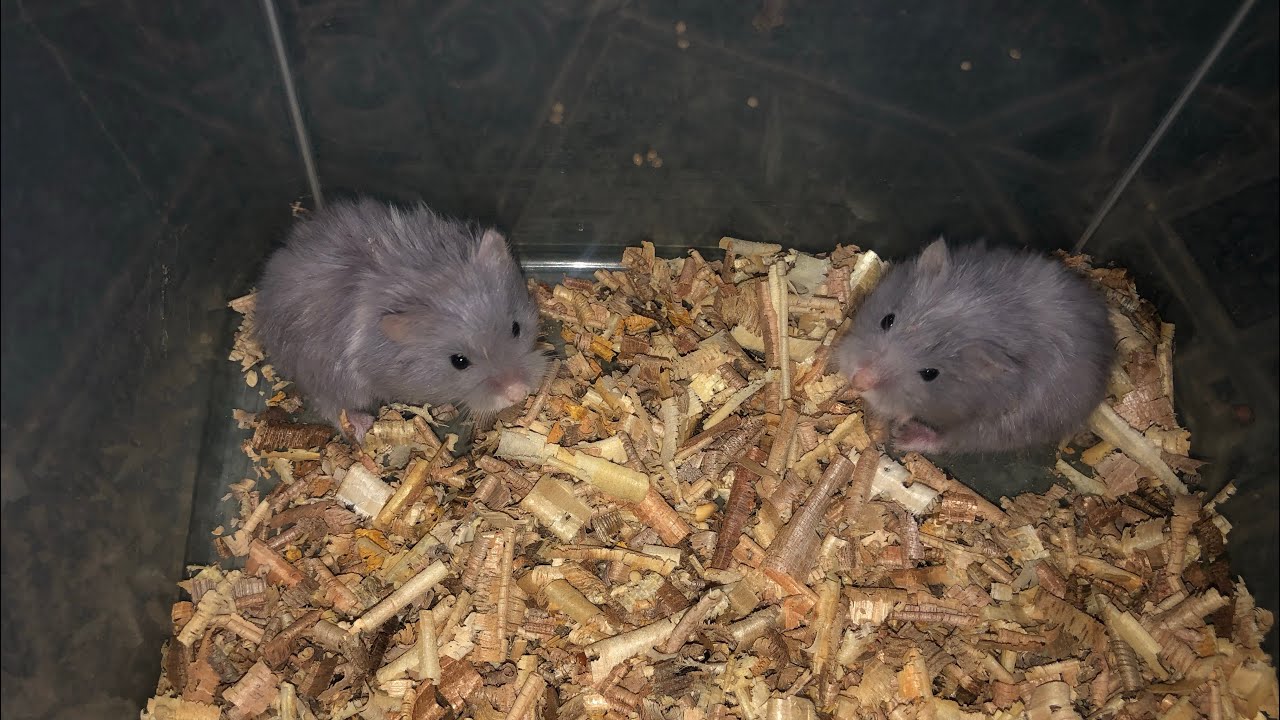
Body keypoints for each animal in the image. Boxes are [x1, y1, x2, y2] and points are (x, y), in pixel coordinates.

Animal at [253, 197, 552, 441]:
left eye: (516, 328)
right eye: (459, 362)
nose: (519, 392)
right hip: (321, 374)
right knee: (330, 406)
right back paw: (362, 427)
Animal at [833, 237, 1116, 455]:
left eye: (930, 374)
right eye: (887, 320)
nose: (859, 382)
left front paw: (898, 420)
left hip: (1006, 426)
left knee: (954, 441)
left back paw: (903, 437)